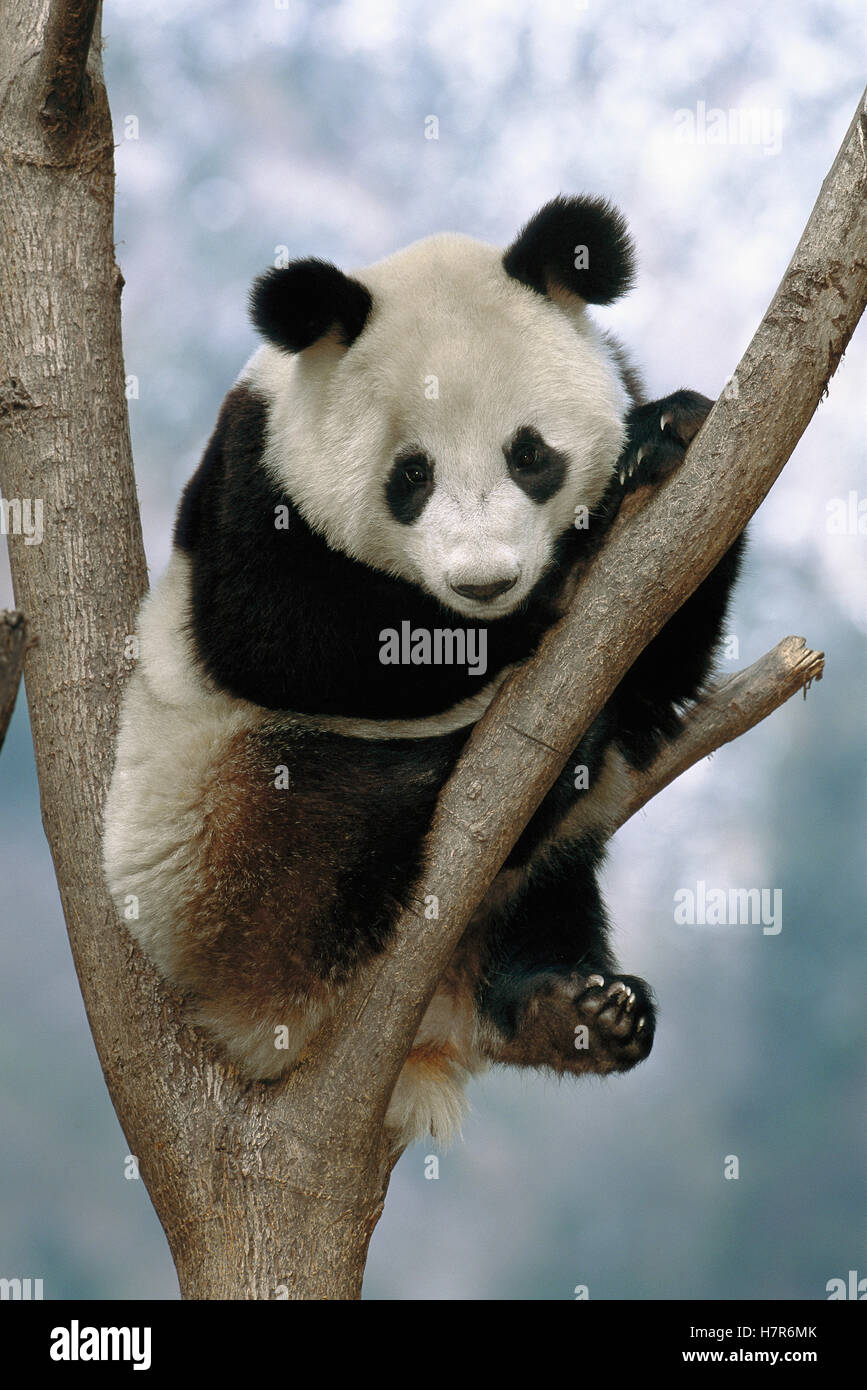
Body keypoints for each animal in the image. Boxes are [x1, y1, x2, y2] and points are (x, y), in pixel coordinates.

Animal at [103, 195, 744, 1148]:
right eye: (411, 474)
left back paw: (576, 1010)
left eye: (529, 454)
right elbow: (278, 635)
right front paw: (551, 586)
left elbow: (661, 660)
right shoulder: (254, 480)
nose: (486, 582)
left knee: (550, 890)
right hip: (218, 840)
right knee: (348, 809)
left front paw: (668, 429)